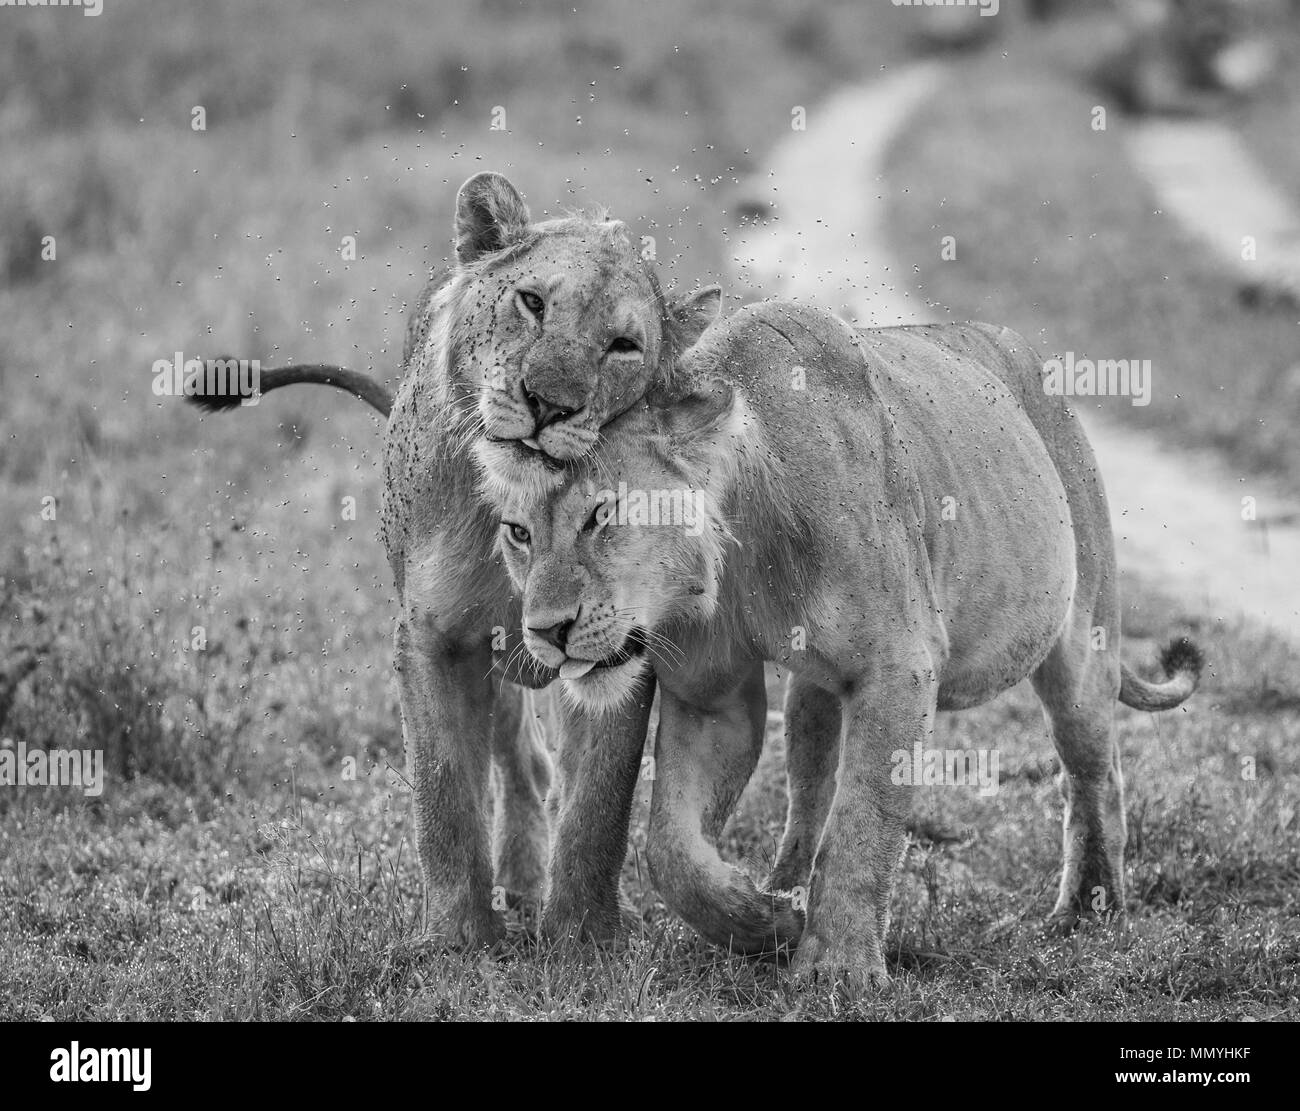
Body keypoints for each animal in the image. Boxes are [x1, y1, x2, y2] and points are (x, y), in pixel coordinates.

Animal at [190, 171, 721, 947]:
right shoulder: (433, 635)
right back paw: (518, 885)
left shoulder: (621, 641)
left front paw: (583, 936)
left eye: (624, 345)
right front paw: (457, 936)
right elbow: (443, 790)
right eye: (532, 303)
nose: (548, 403)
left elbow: (598, 802)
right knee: (517, 760)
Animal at [488, 299, 1204, 990]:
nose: (544, 632)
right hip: (814, 696)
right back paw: (786, 889)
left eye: (602, 515)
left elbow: (864, 821)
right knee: (809, 794)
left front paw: (839, 969)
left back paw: (1089, 911)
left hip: (1082, 644)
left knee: (1093, 771)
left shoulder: (898, 667)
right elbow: (671, 850)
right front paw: (765, 922)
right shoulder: (711, 696)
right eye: (519, 533)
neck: (744, 548)